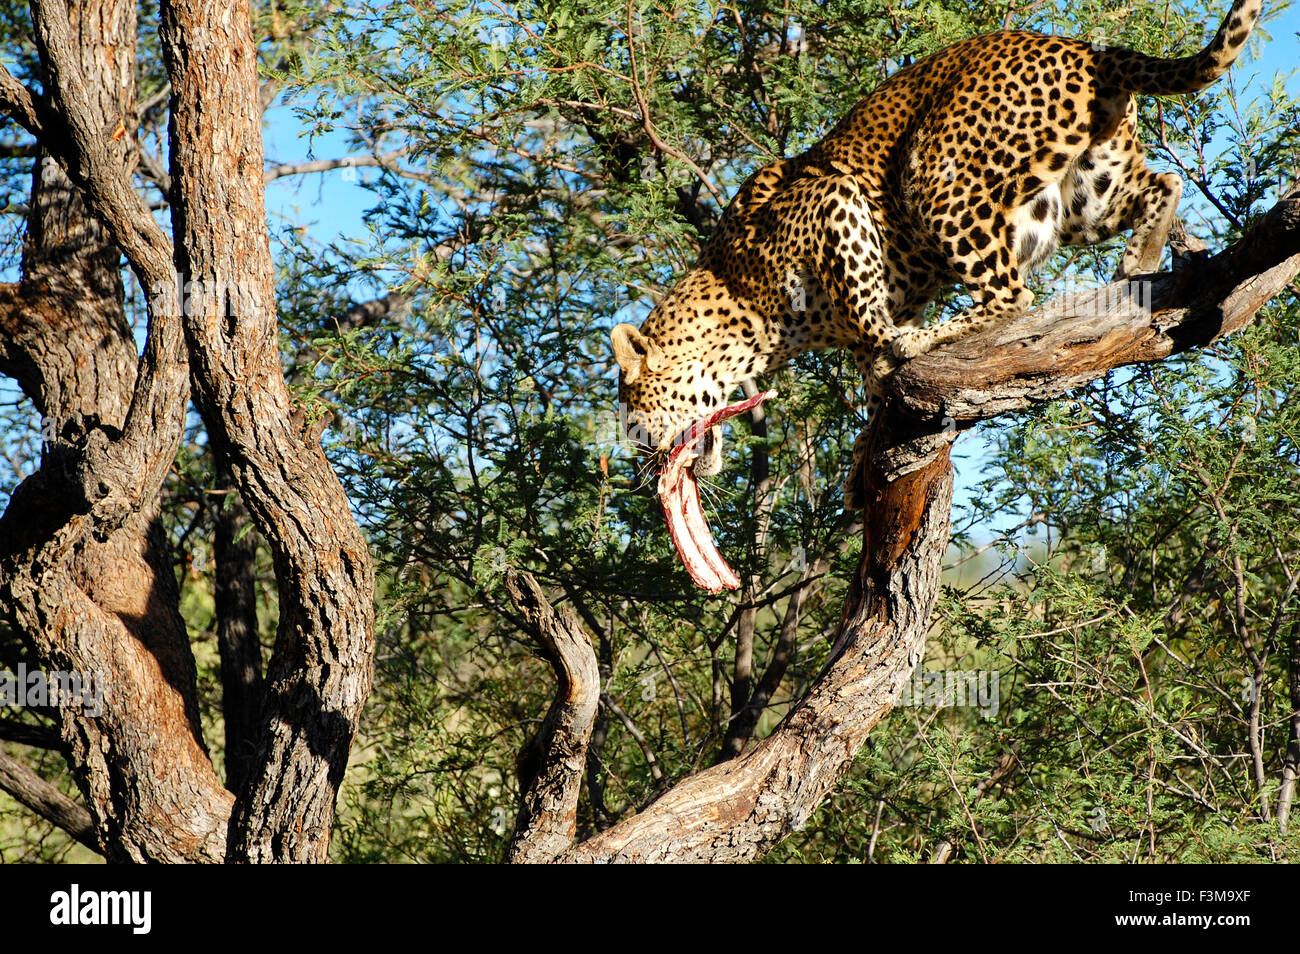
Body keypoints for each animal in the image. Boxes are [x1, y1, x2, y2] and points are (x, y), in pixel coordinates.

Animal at [613, 0, 1262, 515]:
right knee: (1164, 183)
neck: (737, 309)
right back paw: (1139, 263)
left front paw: (898, 351)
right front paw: (860, 464)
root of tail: (1083, 49)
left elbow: (872, 325)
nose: (647, 470)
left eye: (638, 424)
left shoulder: (836, 203)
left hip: (934, 176)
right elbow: (872, 384)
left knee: (1012, 295)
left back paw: (928, 340)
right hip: (1086, 197)